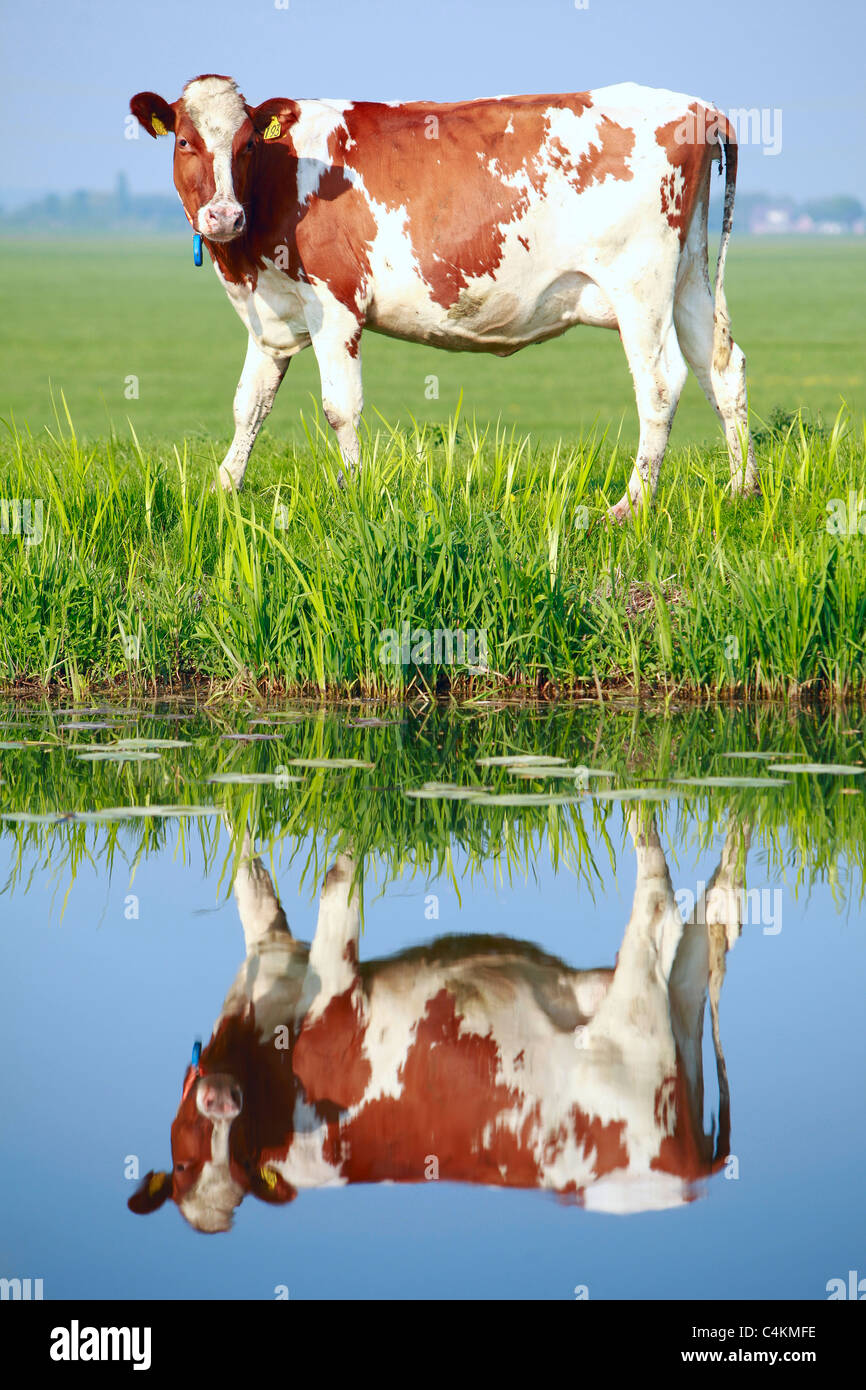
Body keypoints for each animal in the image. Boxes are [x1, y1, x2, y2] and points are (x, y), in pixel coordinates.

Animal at [127, 814, 751, 1229]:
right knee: (707, 919)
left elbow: (335, 880)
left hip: (634, 1014)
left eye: (236, 1160)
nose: (220, 1099)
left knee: (658, 898)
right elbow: (250, 887)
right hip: (680, 1010)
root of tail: (688, 1175)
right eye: (183, 1164)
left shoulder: (337, 987)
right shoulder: (274, 952)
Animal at [129, 75, 759, 521]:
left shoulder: (337, 306)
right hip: (690, 275)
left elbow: (340, 407)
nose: (223, 216)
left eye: (243, 146)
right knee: (721, 367)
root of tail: (698, 107)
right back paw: (741, 488)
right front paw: (222, 490)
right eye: (185, 141)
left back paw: (629, 506)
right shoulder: (273, 320)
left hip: (639, 283)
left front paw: (355, 493)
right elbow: (249, 405)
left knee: (661, 383)